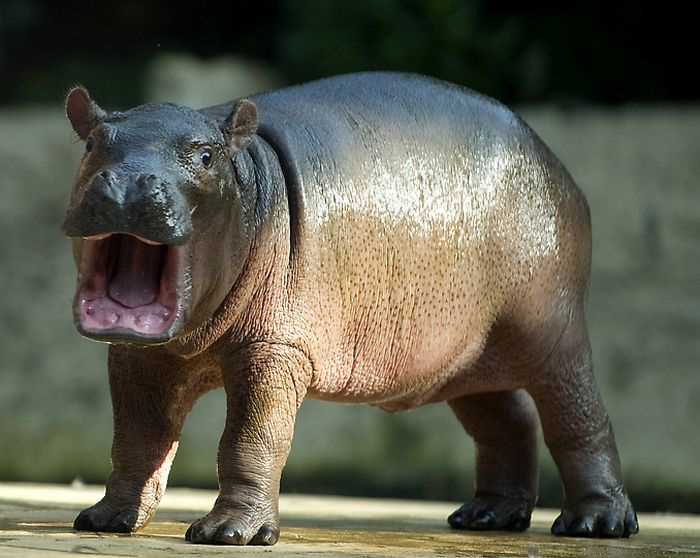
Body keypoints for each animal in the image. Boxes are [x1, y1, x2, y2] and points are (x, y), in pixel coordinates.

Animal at [62, 72, 638, 545]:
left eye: (205, 156)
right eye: (91, 143)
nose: (129, 182)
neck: (249, 183)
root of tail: (555, 163)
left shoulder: (275, 349)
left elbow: (252, 438)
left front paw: (229, 533)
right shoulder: (138, 357)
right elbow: (136, 437)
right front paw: (106, 520)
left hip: (550, 327)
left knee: (577, 415)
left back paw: (595, 524)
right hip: (466, 353)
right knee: (507, 418)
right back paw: (487, 517)